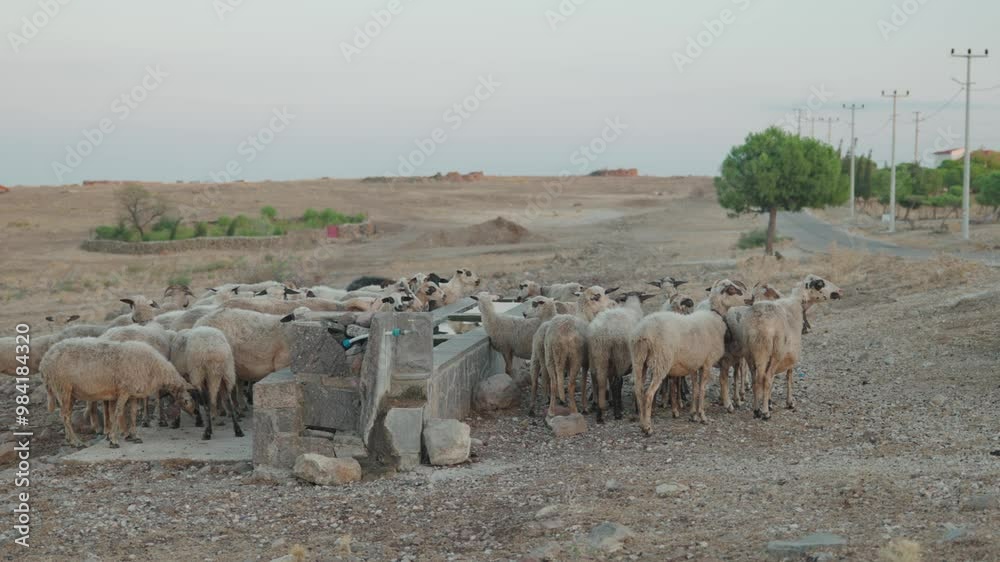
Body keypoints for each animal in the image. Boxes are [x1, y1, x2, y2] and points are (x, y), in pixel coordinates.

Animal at [40, 338, 198, 448]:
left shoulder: (133, 393)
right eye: (187, 400)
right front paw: (114, 440)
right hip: (62, 387)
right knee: (65, 416)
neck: (156, 369)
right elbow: (117, 412)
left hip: (69, 392)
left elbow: (133, 414)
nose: (195, 414)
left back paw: (69, 439)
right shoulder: (124, 391)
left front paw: (134, 436)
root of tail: (45, 359)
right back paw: (76, 442)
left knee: (64, 414)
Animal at [588, 292, 655, 423]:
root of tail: (604, 332)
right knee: (616, 383)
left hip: (599, 355)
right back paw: (617, 413)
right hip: (620, 355)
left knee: (600, 382)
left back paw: (600, 413)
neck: (632, 307)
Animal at [629, 279, 750, 435]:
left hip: (639, 361)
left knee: (638, 391)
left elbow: (695, 388)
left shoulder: (694, 364)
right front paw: (703, 416)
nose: (749, 299)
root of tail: (643, 332)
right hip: (660, 361)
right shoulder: (707, 362)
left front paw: (693, 414)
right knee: (648, 394)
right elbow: (703, 388)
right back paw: (647, 428)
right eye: (732, 290)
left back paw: (641, 423)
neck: (715, 315)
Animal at [744, 274, 843, 420]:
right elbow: (789, 376)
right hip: (776, 353)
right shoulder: (791, 354)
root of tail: (761, 325)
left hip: (751, 353)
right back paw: (765, 413)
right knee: (766, 378)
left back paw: (757, 410)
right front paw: (789, 403)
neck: (797, 303)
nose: (840, 291)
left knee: (756, 379)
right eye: (820, 284)